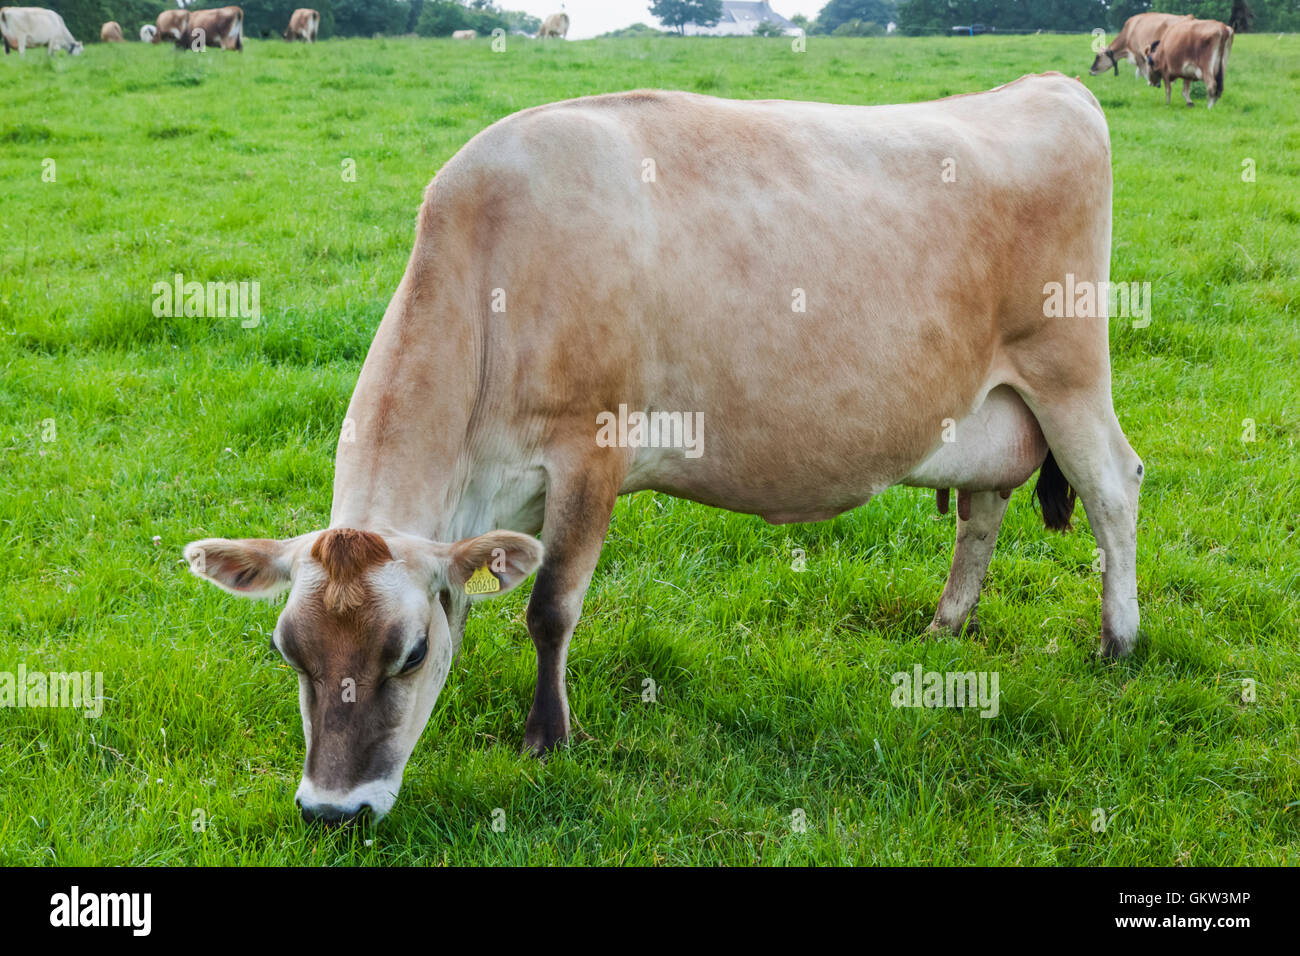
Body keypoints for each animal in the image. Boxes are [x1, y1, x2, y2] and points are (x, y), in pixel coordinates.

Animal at [185, 75, 1143, 824]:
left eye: (409, 653)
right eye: (287, 651)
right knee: (982, 507)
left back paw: (1119, 641)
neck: (493, 272)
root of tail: (1046, 86)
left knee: (1113, 486)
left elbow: (550, 609)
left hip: (1068, 369)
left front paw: (547, 738)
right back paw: (946, 627)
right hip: (988, 408)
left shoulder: (591, 451)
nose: (332, 811)